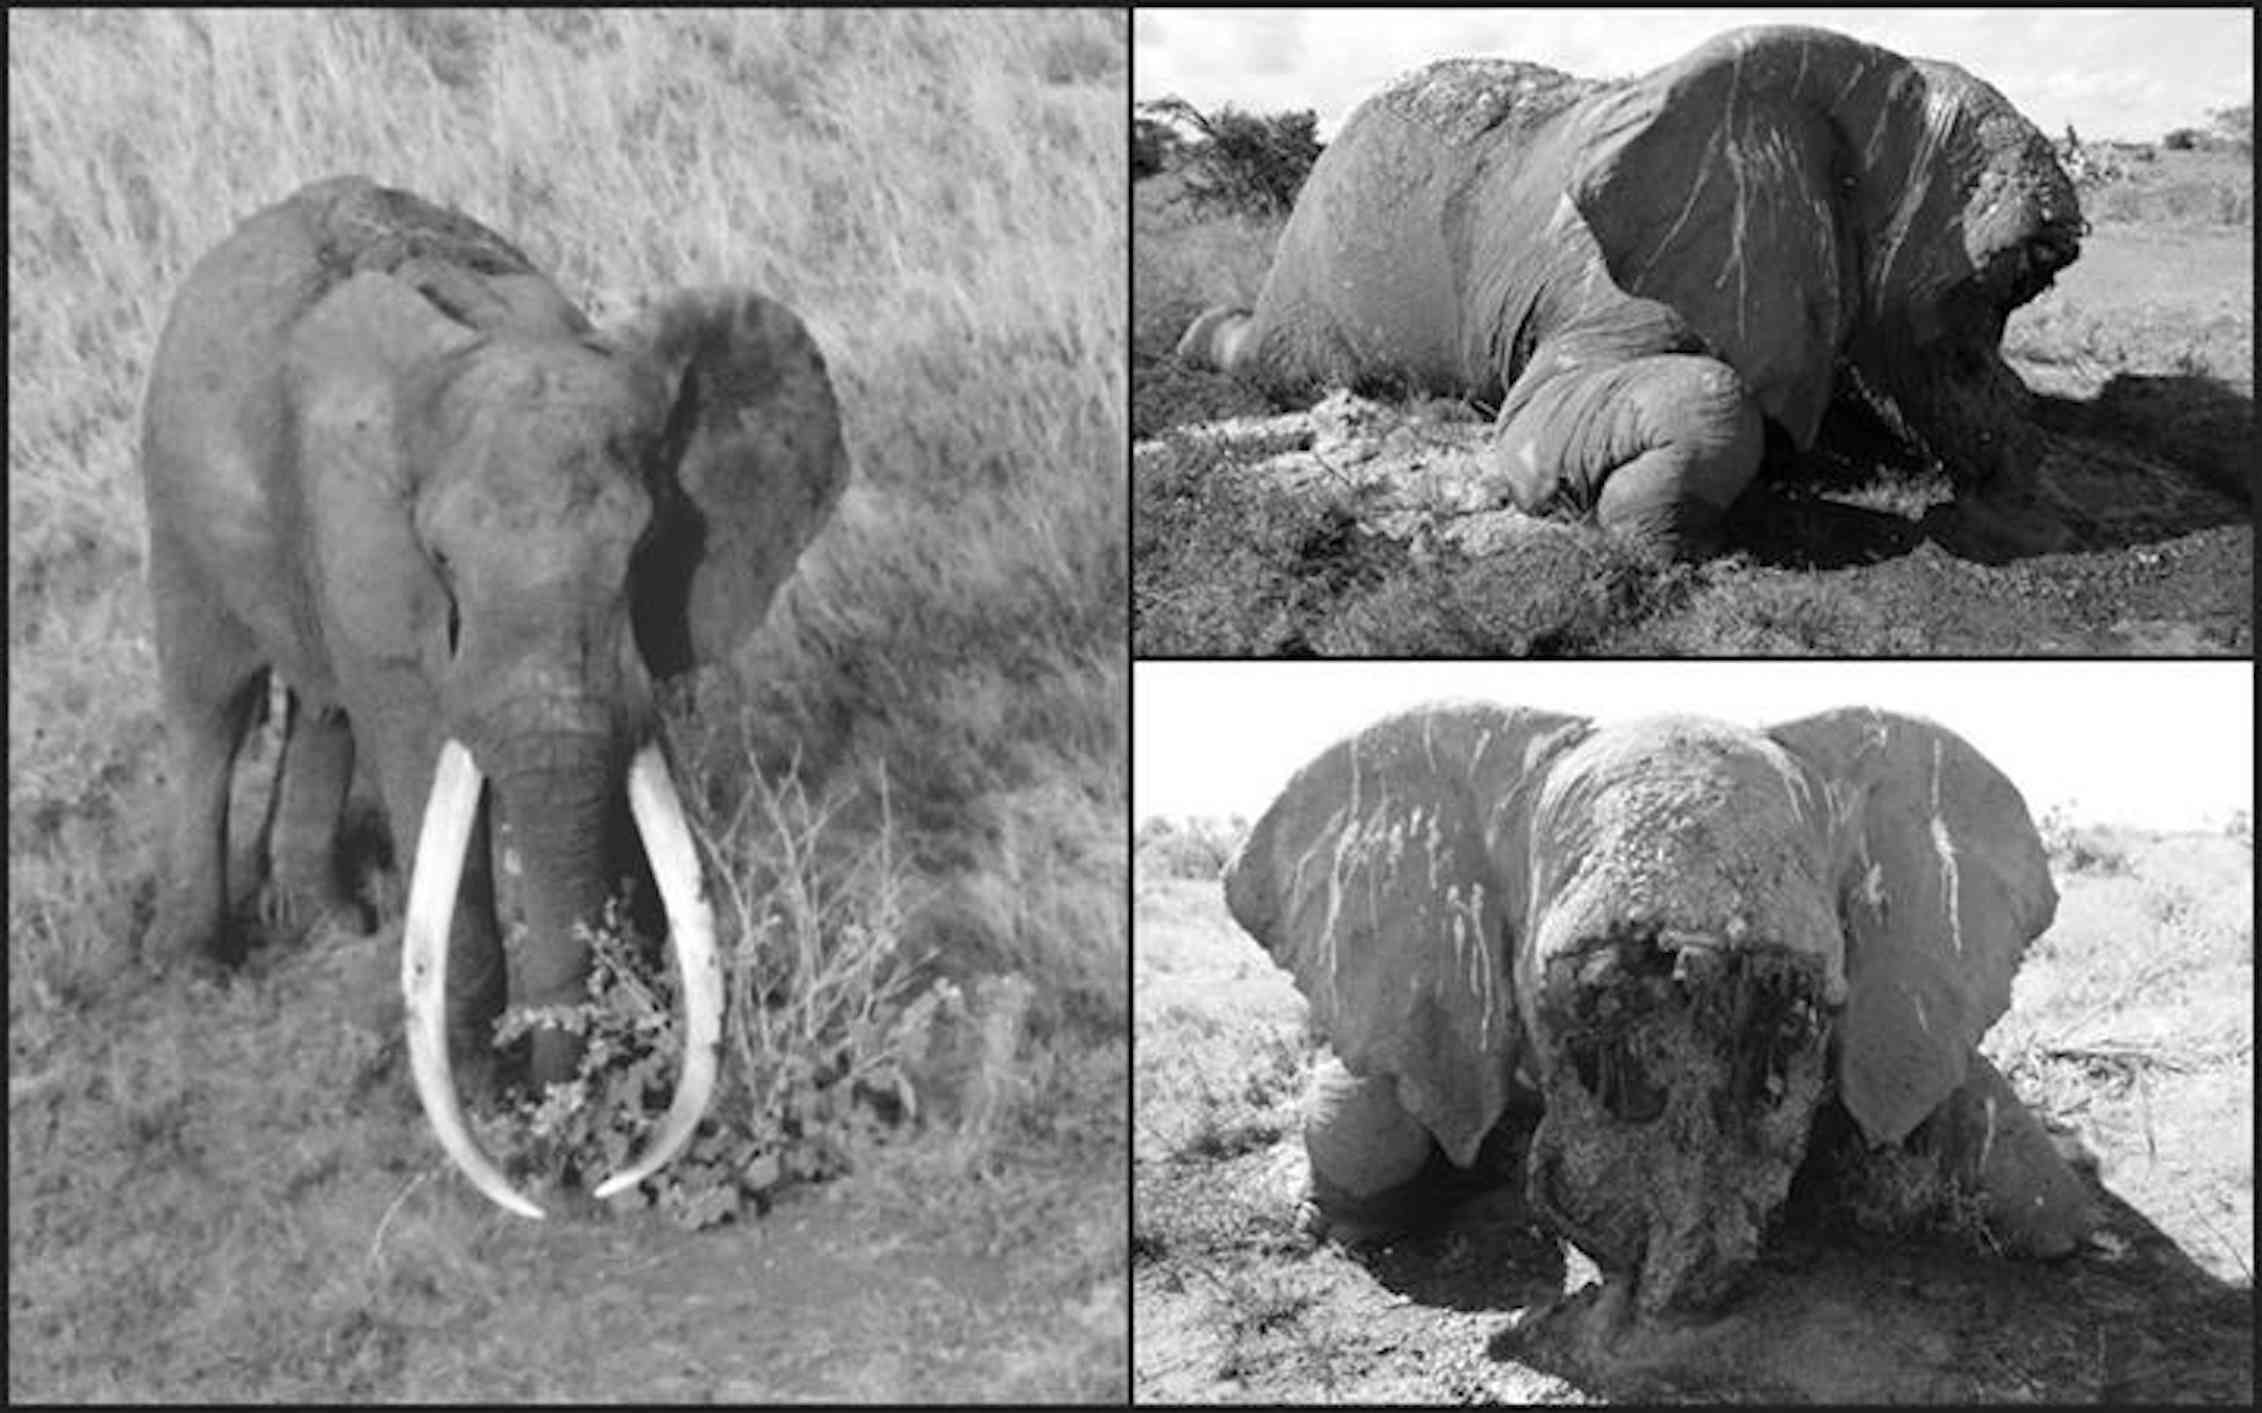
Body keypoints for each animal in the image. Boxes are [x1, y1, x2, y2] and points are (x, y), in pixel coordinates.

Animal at [141, 175, 850, 1217]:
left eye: (643, 550)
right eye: (442, 560)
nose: (570, 1174)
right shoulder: (373, 547)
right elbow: (419, 759)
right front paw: (483, 1093)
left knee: (322, 706)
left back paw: (331, 926)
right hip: (178, 498)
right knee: (211, 705)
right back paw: (197, 970)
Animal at [1177, 26, 2087, 560]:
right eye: (1993, 291)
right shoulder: (1625, 282)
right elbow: (1655, 405)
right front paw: (1652, 537)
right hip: (1325, 264)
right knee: (1282, 361)